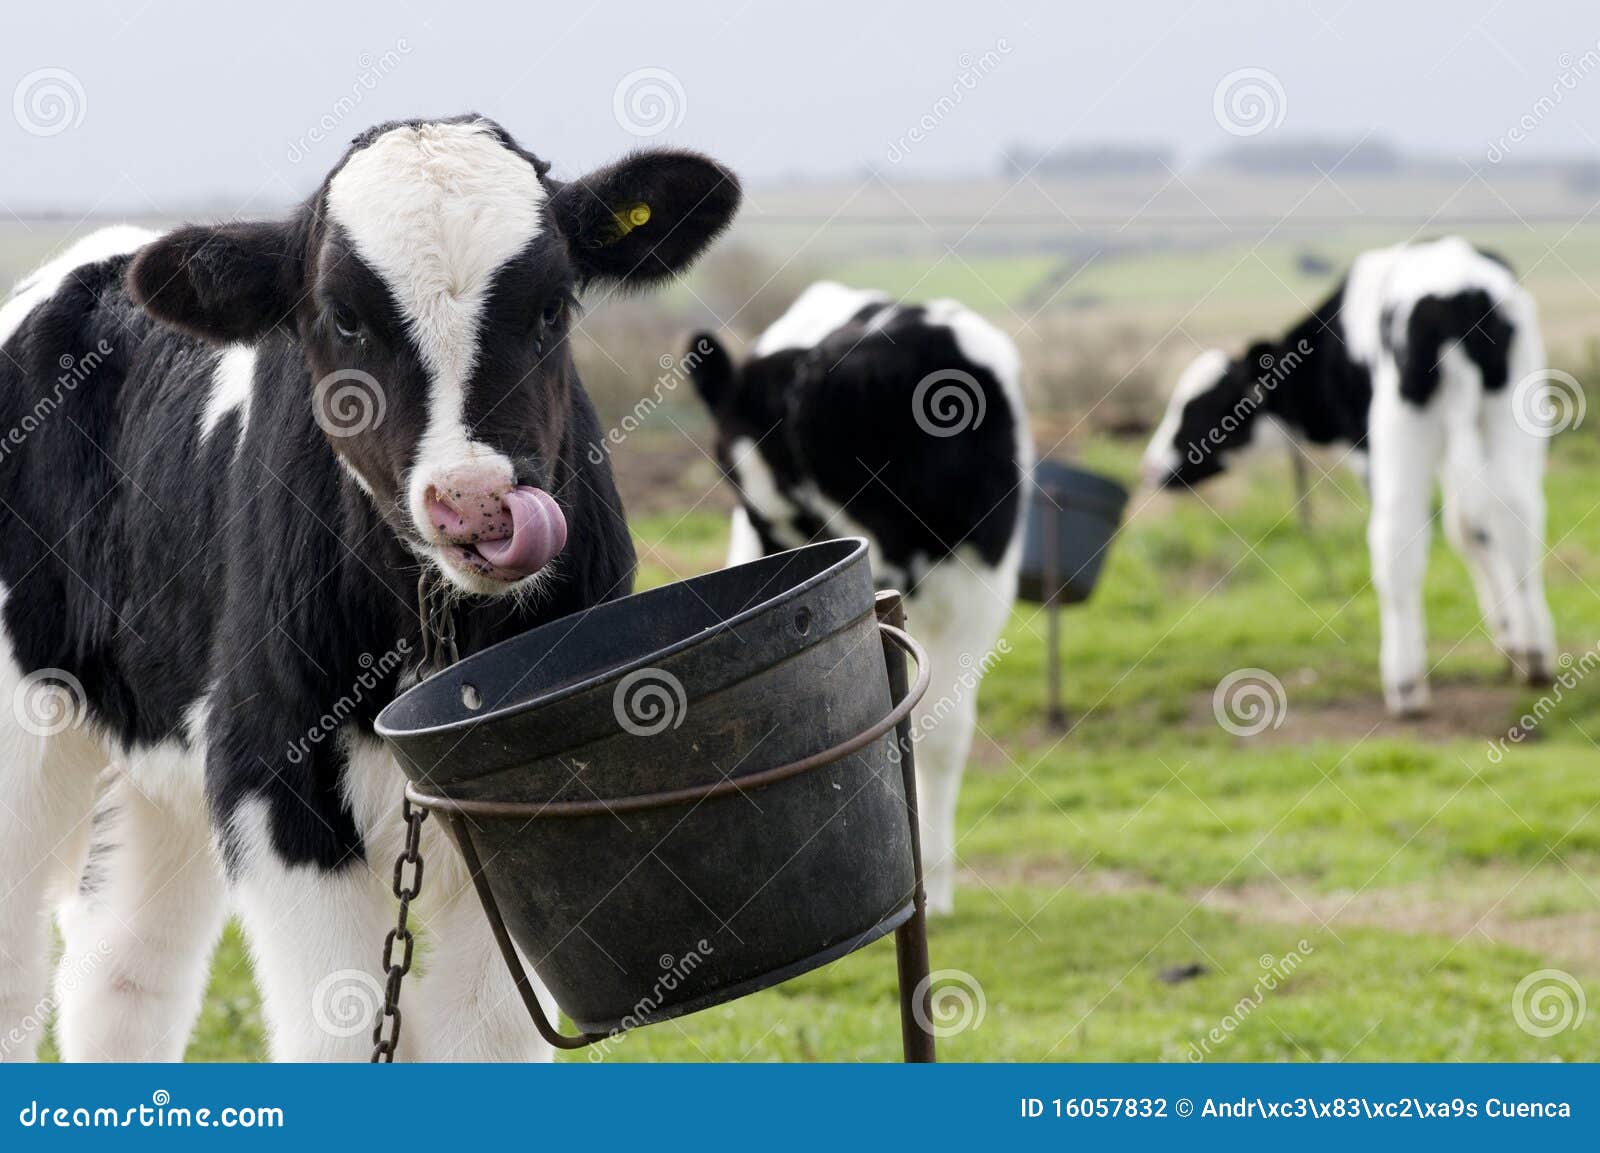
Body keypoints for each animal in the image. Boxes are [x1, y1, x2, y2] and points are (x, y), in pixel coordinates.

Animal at [0, 116, 740, 1062]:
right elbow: (342, 1027)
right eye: (343, 318)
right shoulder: (270, 772)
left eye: (553, 304)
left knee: (124, 972)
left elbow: (488, 1038)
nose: (476, 502)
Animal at [1142, 236, 1555, 716]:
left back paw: (1404, 685)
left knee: (1396, 538)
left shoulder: (1368, 448)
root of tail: (1455, 297)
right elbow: (1471, 530)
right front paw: (1510, 639)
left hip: (1399, 430)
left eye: (1200, 406)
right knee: (1514, 513)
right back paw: (1538, 658)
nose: (1149, 469)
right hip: (1510, 414)